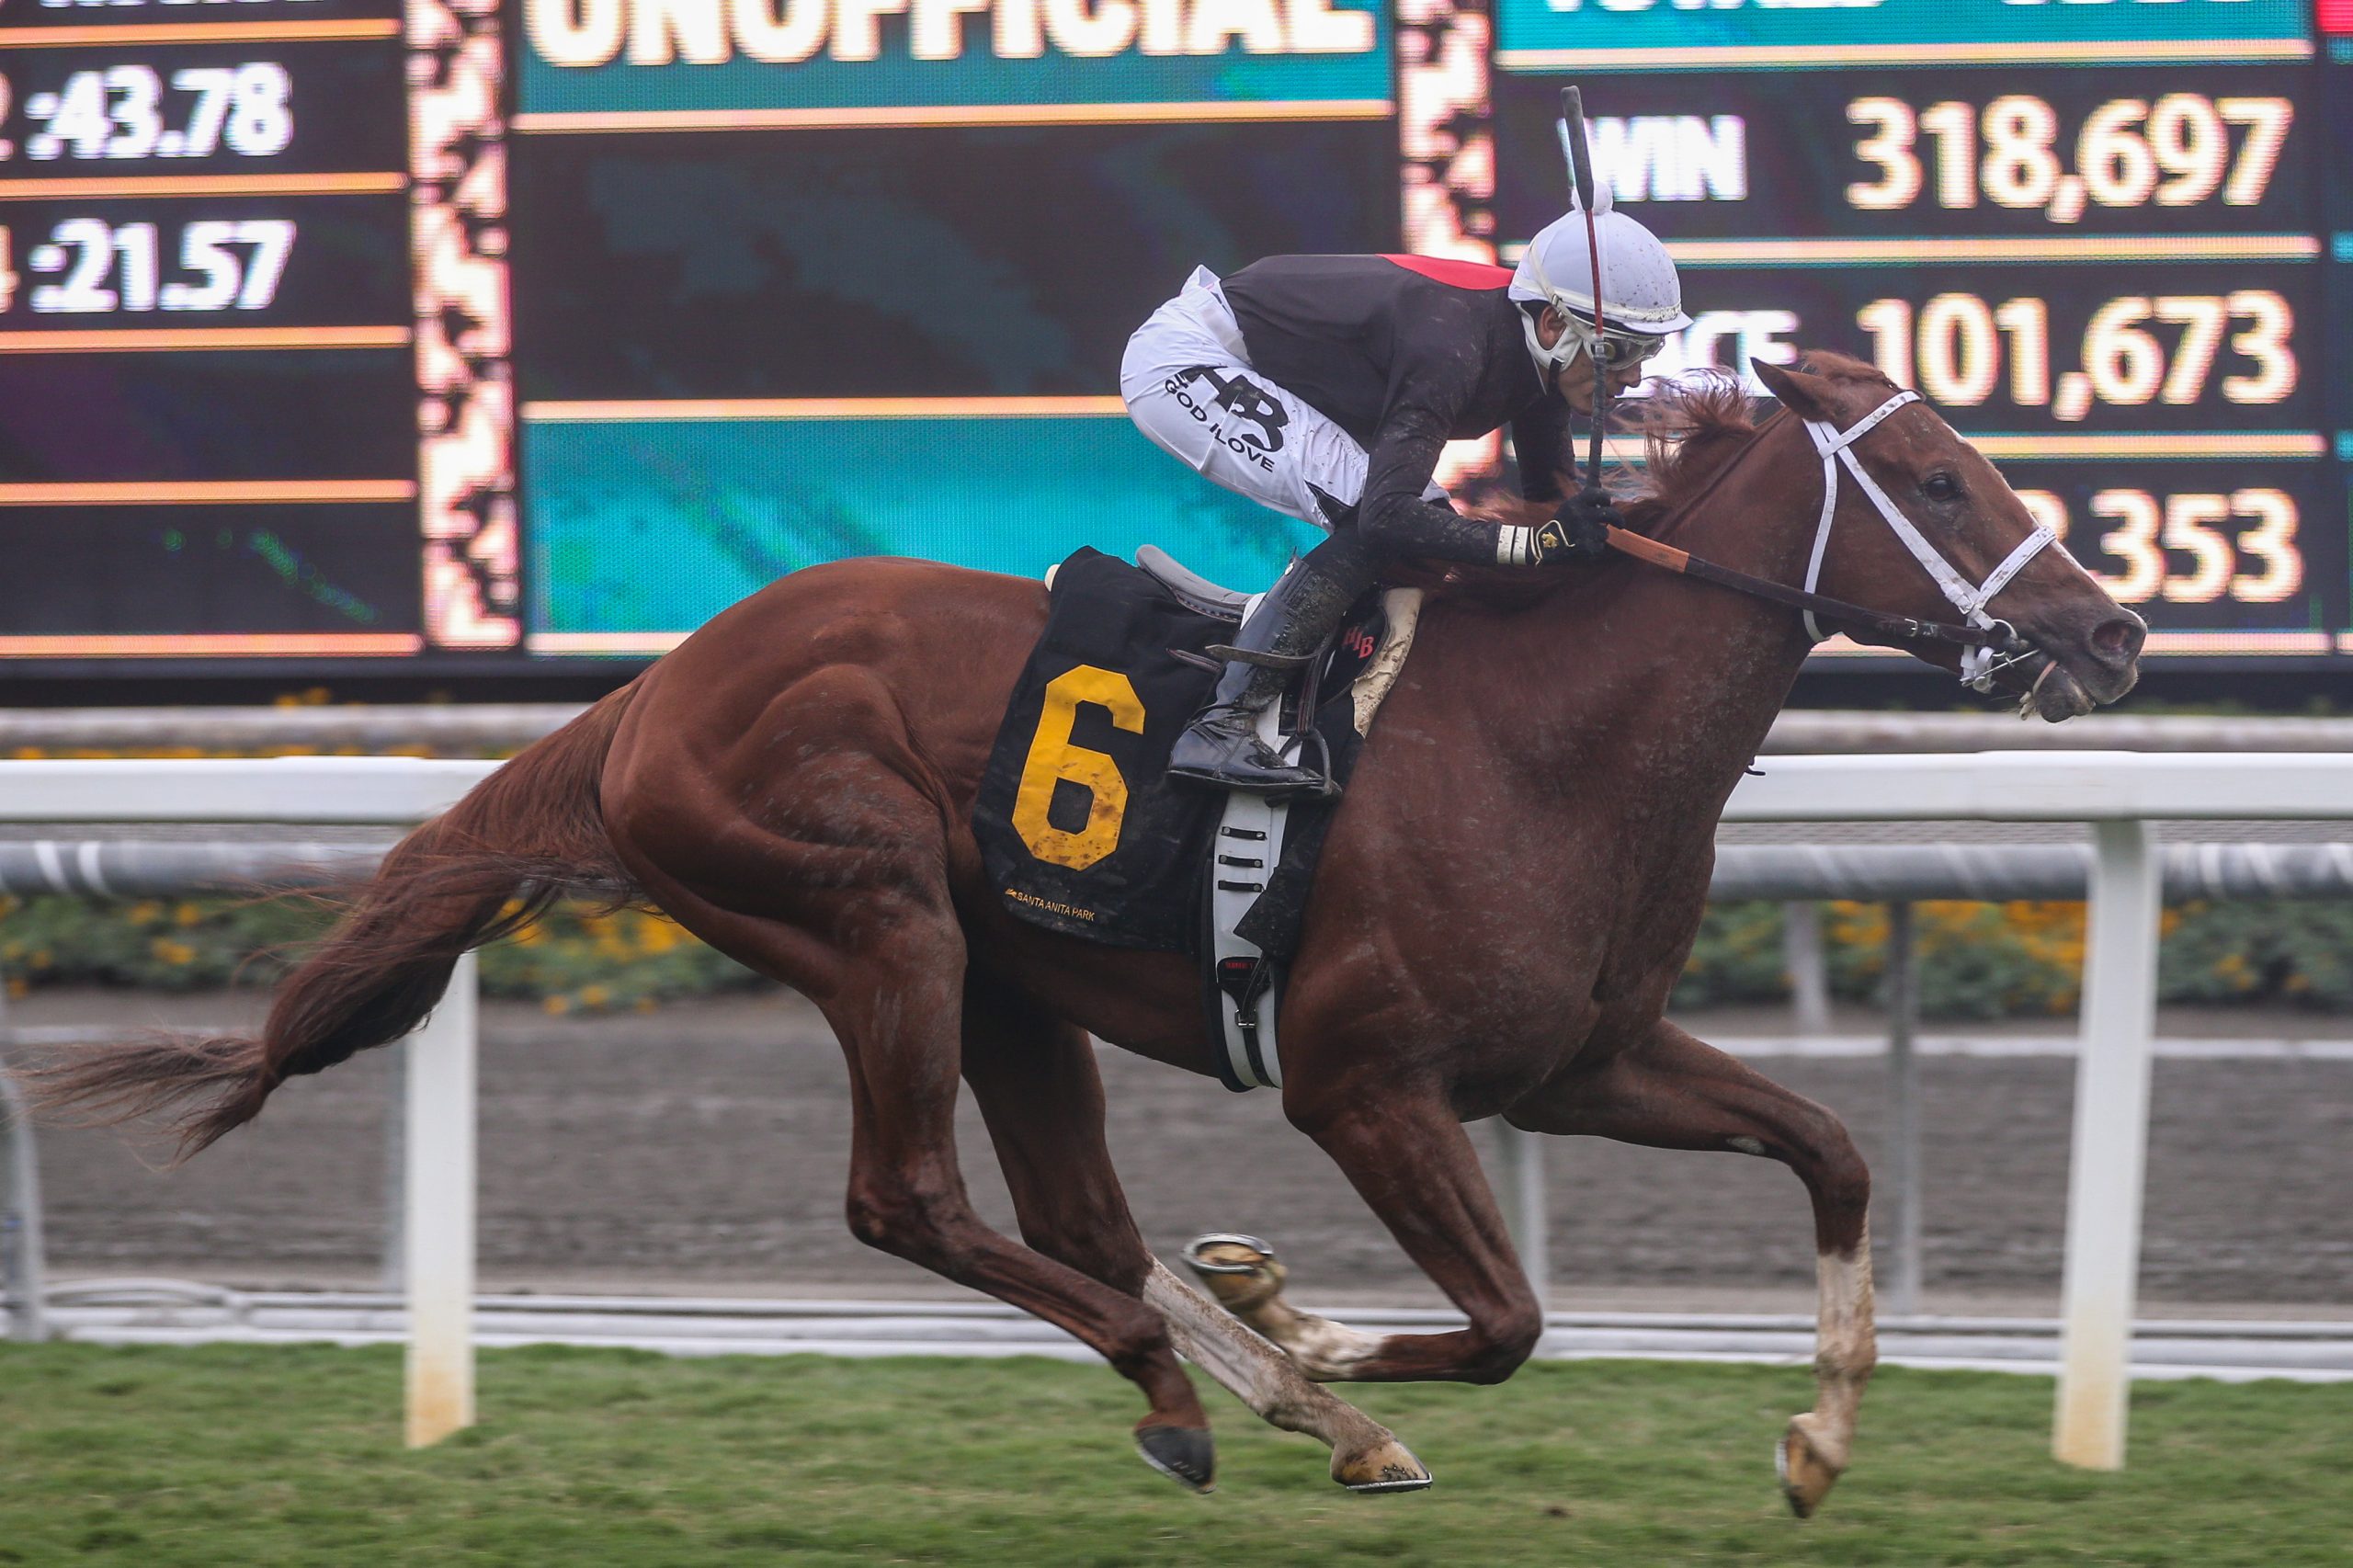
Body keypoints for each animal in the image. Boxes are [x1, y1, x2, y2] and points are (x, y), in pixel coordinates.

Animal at [24, 352, 2143, 1514]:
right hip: (873, 915)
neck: (1546, 740)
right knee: (913, 1201)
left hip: (1009, 983)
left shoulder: (1581, 1060)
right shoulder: (1364, 1083)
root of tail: (642, 698)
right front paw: (1303, 1336)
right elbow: (1504, 1321)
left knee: (1068, 1217)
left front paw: (1816, 1444)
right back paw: (1211, 1385)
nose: (2112, 632)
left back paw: (1238, 1384)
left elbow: (1829, 1150)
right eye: (1936, 475)